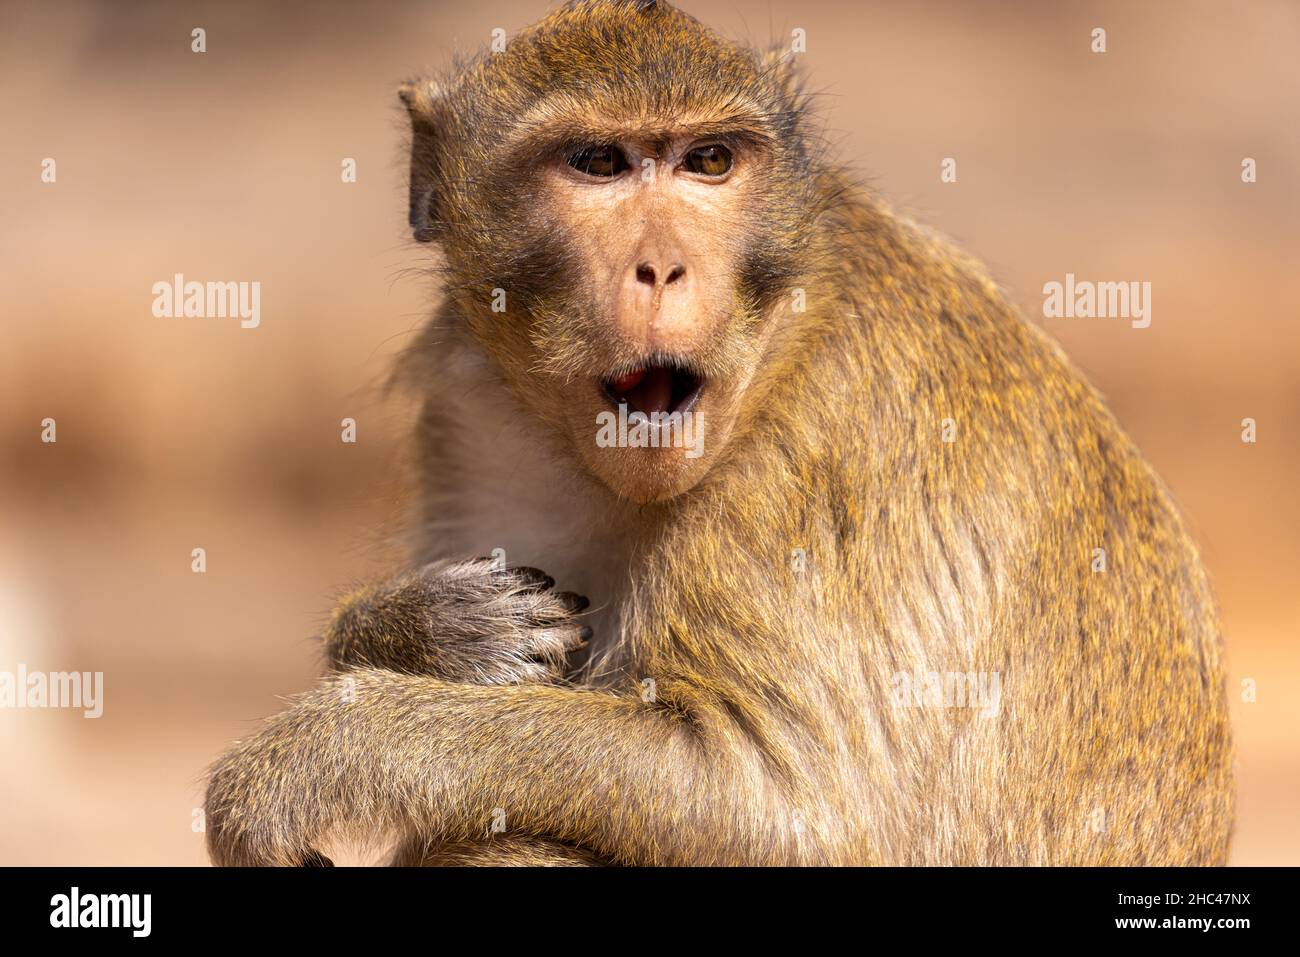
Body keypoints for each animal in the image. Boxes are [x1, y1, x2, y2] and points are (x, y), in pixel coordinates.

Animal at [204, 0, 1233, 867]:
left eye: (708, 162)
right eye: (599, 164)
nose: (663, 266)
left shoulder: (807, 464)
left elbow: (770, 797)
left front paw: (315, 754)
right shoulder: (473, 411)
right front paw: (423, 629)